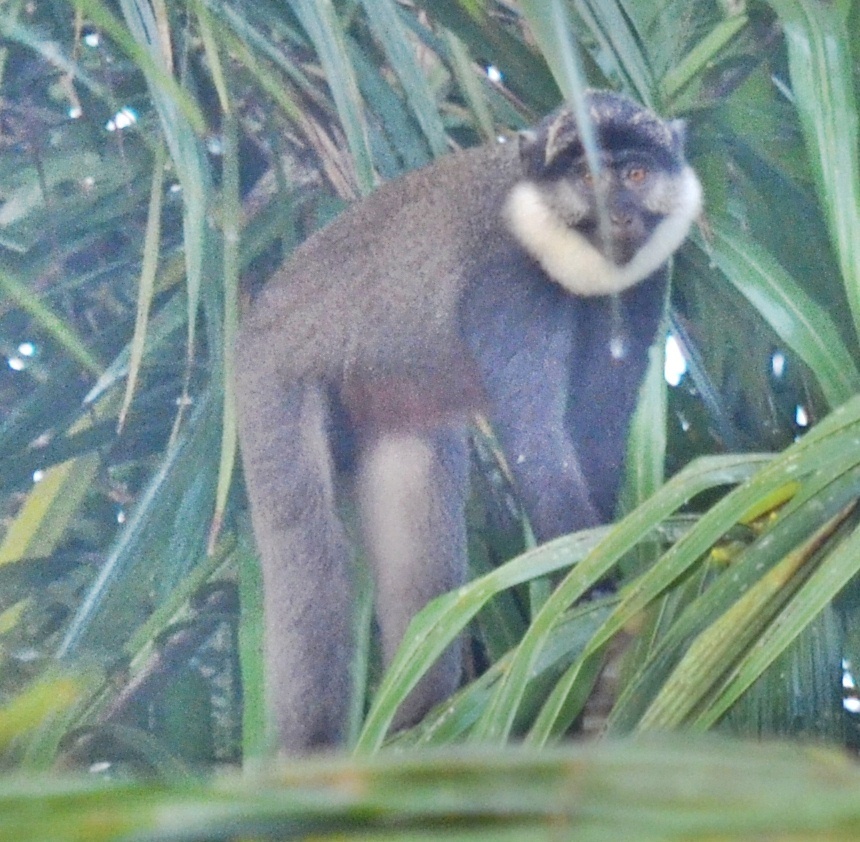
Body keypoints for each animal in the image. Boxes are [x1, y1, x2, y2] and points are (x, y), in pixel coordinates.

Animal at [235, 90, 702, 752]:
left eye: (636, 175)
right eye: (587, 178)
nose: (619, 214)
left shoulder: (642, 289)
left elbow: (597, 432)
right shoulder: (507, 285)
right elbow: (534, 438)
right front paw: (595, 586)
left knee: (419, 542)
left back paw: (416, 714)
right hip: (269, 379)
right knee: (308, 547)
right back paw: (315, 751)